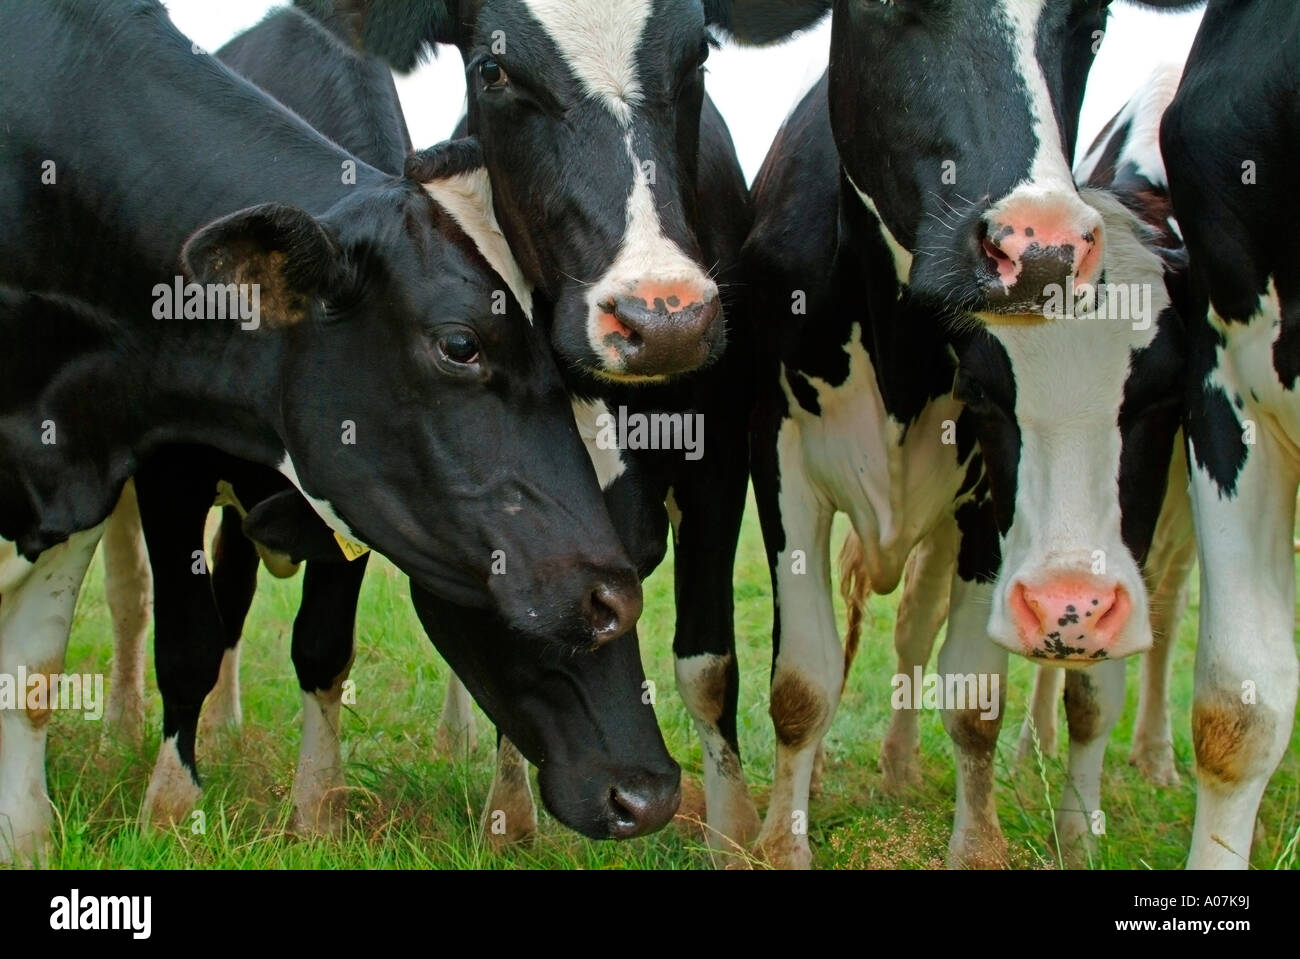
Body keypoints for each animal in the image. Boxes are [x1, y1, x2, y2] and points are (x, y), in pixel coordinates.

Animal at [0, 0, 675, 862]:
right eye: (461, 344)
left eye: (648, 549)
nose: (650, 794)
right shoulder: (161, 467)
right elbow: (183, 637)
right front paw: (170, 803)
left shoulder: (353, 501)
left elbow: (319, 645)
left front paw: (319, 806)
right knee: (135, 597)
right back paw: (131, 719)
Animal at [306, 0, 835, 854]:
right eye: (493, 69)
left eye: (697, 60)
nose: (662, 320)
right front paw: (511, 817)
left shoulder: (720, 457)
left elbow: (706, 664)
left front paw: (731, 830)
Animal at [743, 0, 1200, 869]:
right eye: (882, 10)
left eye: (1090, 23)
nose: (1042, 247)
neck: (901, 344)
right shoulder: (778, 464)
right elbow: (802, 685)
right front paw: (783, 839)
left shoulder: (989, 498)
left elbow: (974, 695)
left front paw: (979, 841)